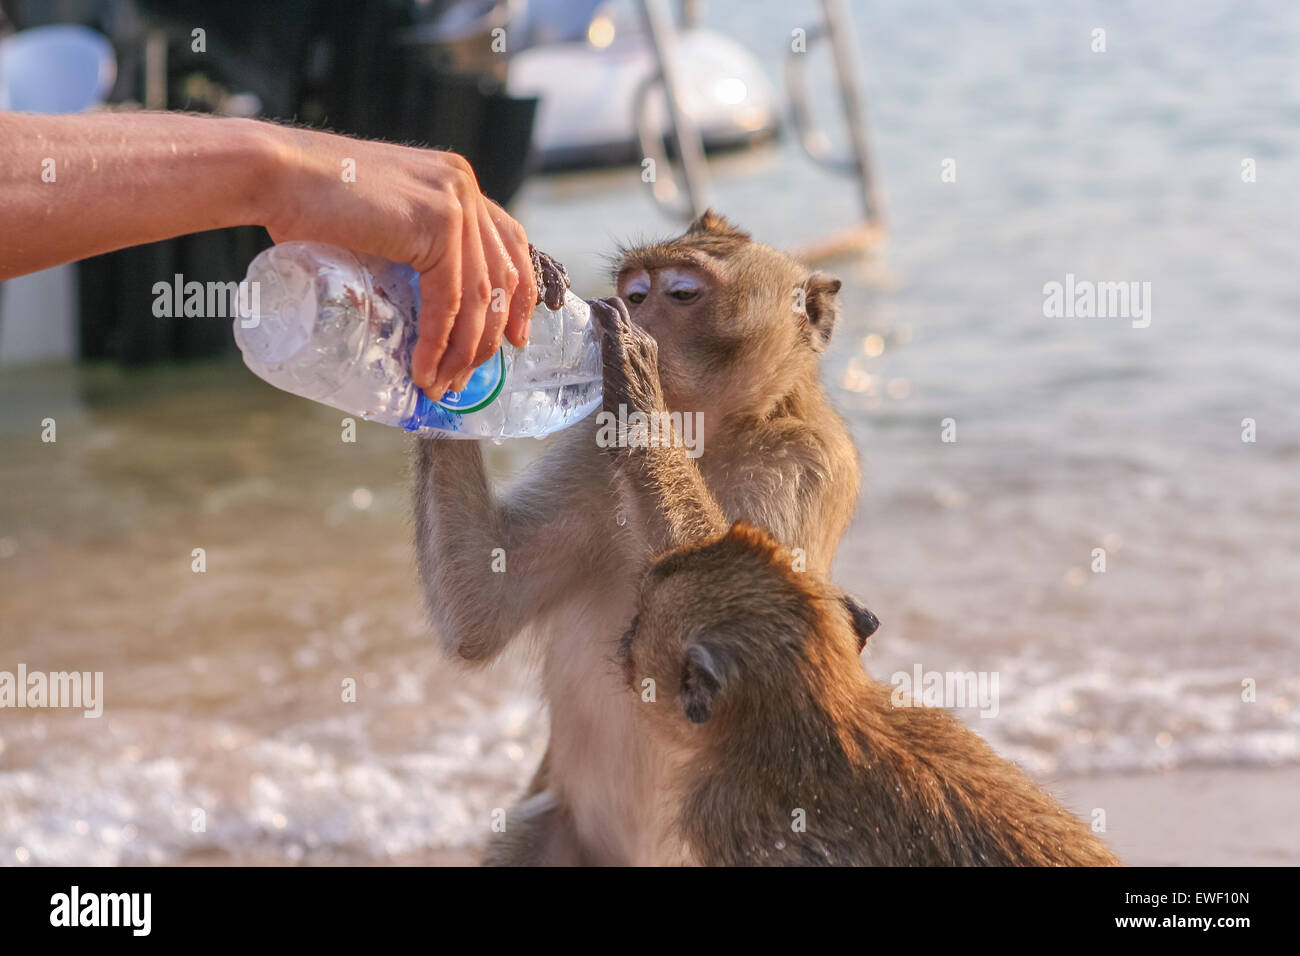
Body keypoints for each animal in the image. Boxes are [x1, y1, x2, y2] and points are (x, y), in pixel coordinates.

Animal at [413, 211, 861, 865]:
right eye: (635, 289)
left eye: (681, 293)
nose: (629, 309)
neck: (704, 440)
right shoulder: (586, 453)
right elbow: (479, 612)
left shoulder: (807, 464)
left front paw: (637, 382)